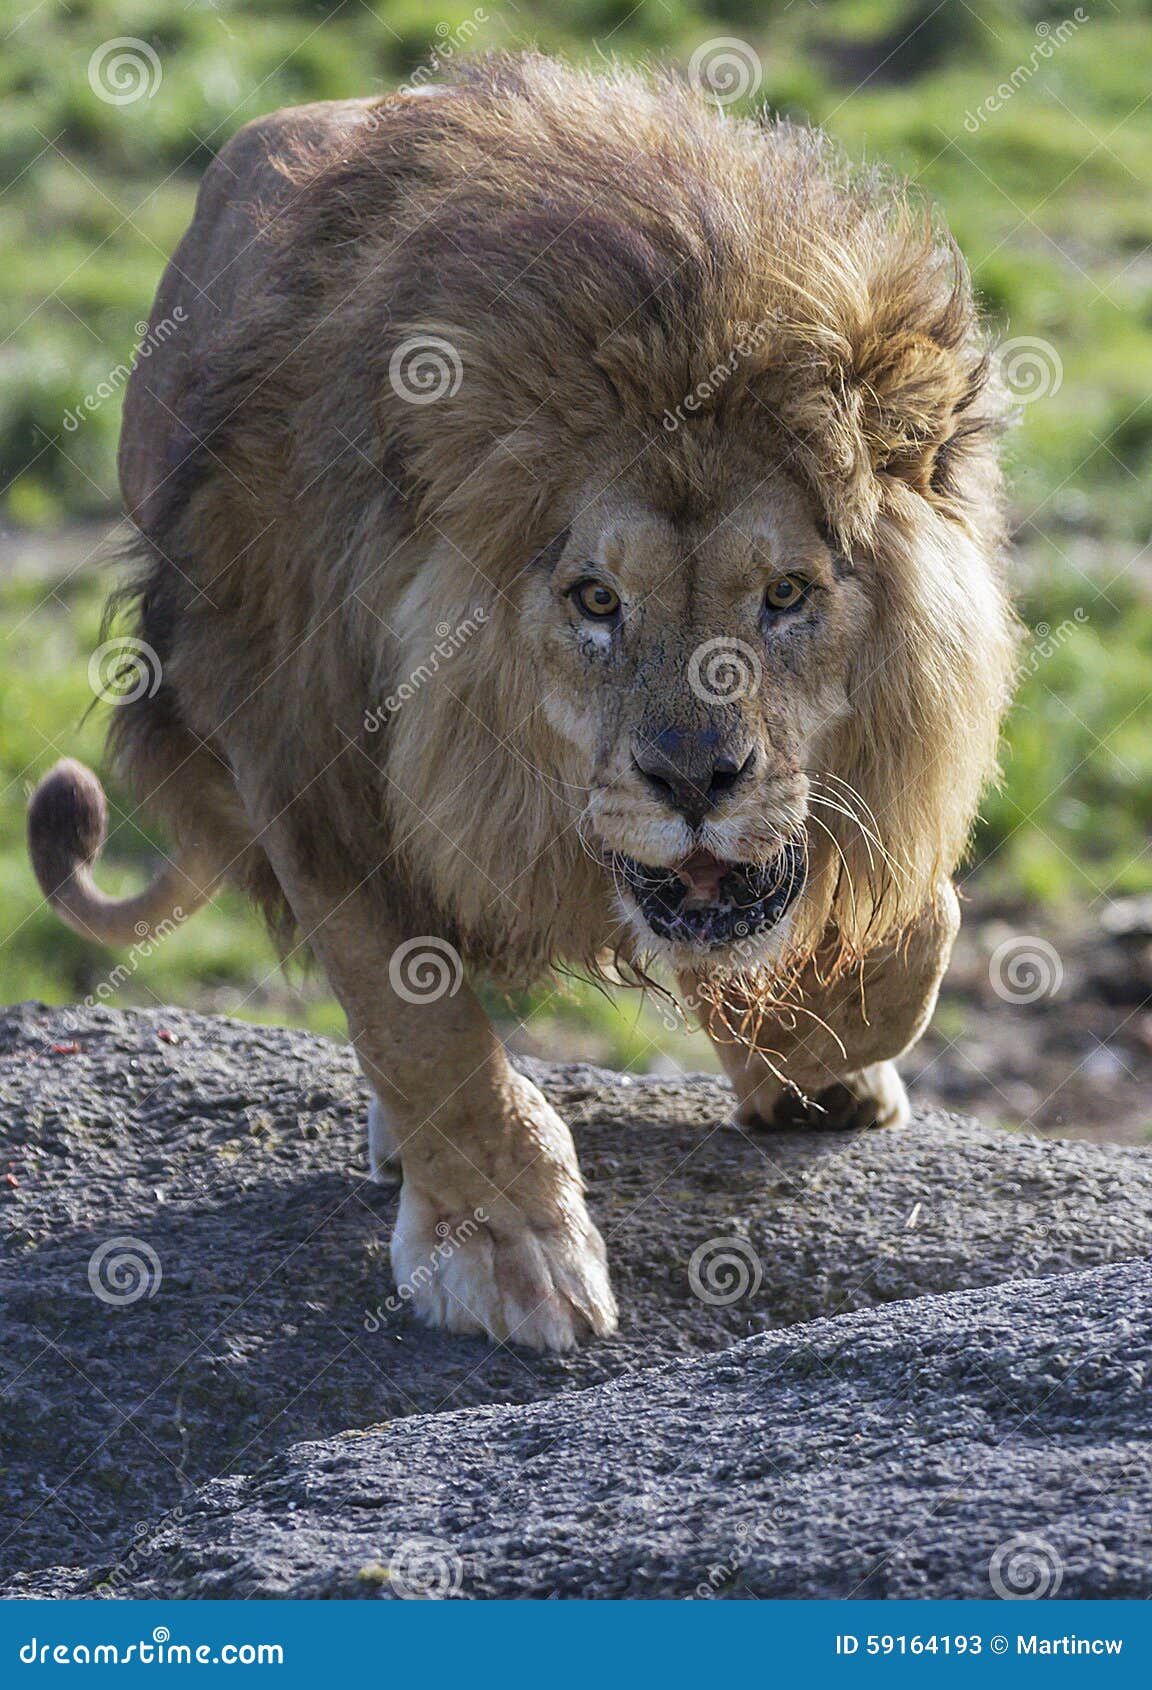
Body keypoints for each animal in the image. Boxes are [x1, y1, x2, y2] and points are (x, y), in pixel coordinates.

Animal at [28, 55, 1018, 1351]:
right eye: (595, 600)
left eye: (787, 595)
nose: (694, 781)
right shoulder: (298, 741)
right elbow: (417, 1019)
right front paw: (503, 1240)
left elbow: (919, 923)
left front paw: (808, 1050)